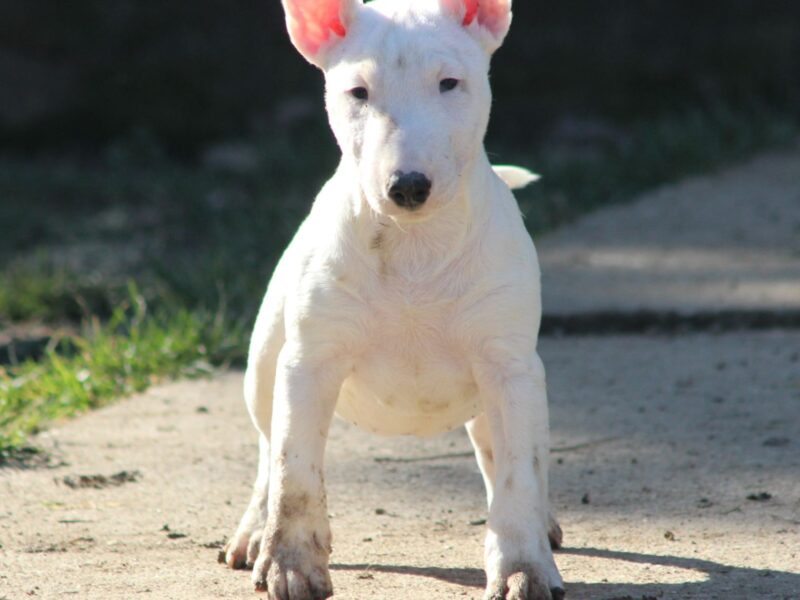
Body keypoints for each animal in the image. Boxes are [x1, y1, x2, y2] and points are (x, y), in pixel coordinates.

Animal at [220, 2, 564, 596]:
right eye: (357, 91)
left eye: (450, 83)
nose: (407, 186)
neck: (415, 247)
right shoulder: (308, 361)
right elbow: (295, 469)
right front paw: (290, 564)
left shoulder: (510, 365)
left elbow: (520, 469)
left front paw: (524, 567)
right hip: (263, 363)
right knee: (268, 448)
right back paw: (253, 534)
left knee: (499, 451)